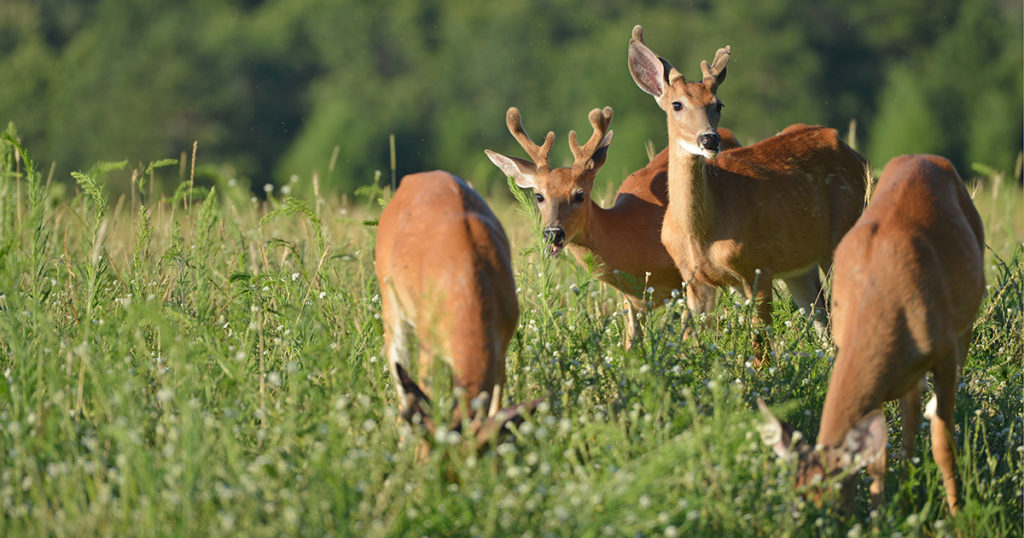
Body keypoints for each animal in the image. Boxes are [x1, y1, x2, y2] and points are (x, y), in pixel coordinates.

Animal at [627, 25, 869, 362]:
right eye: (677, 104)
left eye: (718, 104)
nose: (710, 140)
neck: (700, 231)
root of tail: (857, 156)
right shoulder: (696, 281)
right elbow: (694, 341)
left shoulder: (758, 267)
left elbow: (760, 348)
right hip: (799, 266)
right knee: (822, 319)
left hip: (844, 232)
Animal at [758, 154, 986, 514]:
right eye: (797, 501)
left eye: (835, 506)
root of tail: (924, 156)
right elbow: (879, 458)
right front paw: (884, 514)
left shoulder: (945, 352)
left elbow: (942, 443)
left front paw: (958, 514)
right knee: (909, 420)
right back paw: (905, 499)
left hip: (966, 320)